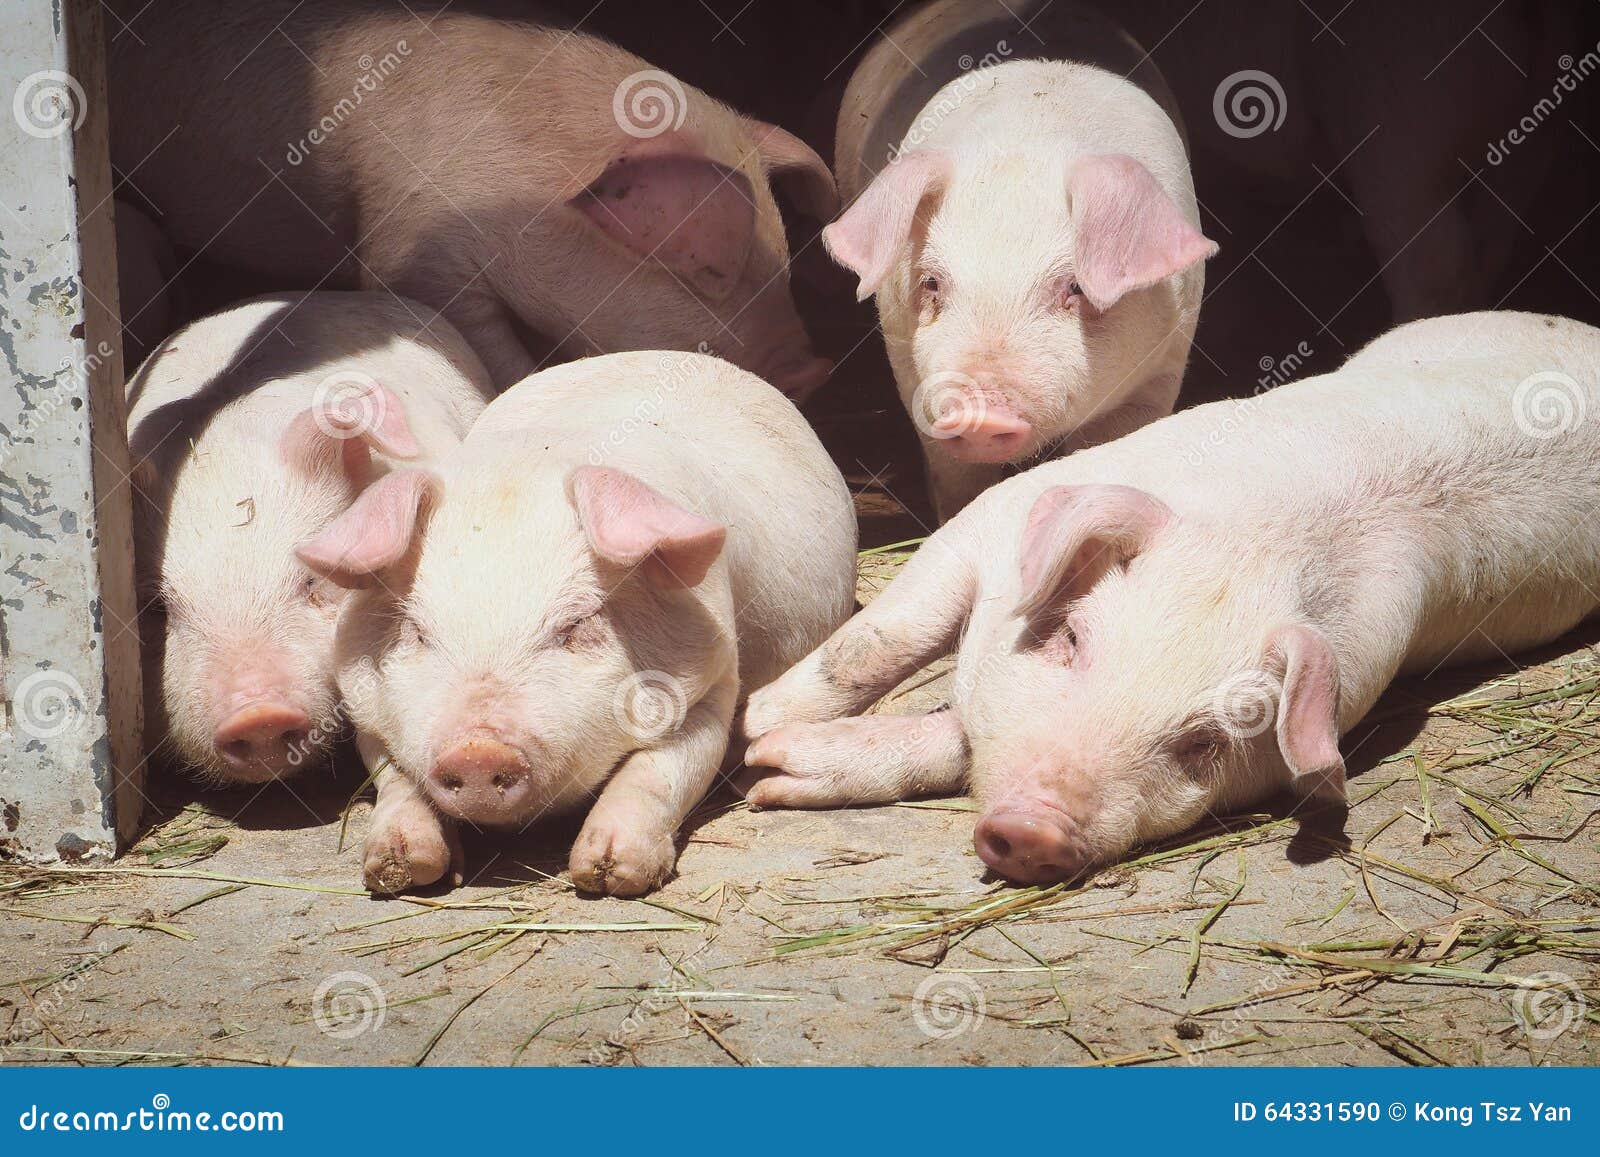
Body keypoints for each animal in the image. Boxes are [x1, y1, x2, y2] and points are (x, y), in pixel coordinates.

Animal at [106, 0, 837, 397]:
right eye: (707, 270)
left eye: (786, 262)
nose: (814, 367)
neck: (526, 197)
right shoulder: (411, 249)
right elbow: (490, 349)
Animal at [297, 351, 857, 895]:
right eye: (415, 631)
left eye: (579, 624)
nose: (477, 751)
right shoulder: (365, 708)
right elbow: (394, 776)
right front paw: (397, 869)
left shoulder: (714, 683)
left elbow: (663, 768)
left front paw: (609, 871)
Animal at [740, 311, 1600, 883]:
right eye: (1071, 641)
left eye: (1204, 743)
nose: (1034, 828)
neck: (1263, 531)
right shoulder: (993, 518)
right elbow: (880, 639)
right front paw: (756, 732)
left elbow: (959, 732)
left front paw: (770, 771)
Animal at [828, 0, 1216, 520]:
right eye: (931, 283)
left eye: (1075, 287)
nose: (978, 413)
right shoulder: (908, 364)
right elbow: (955, 476)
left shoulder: (1163, 364)